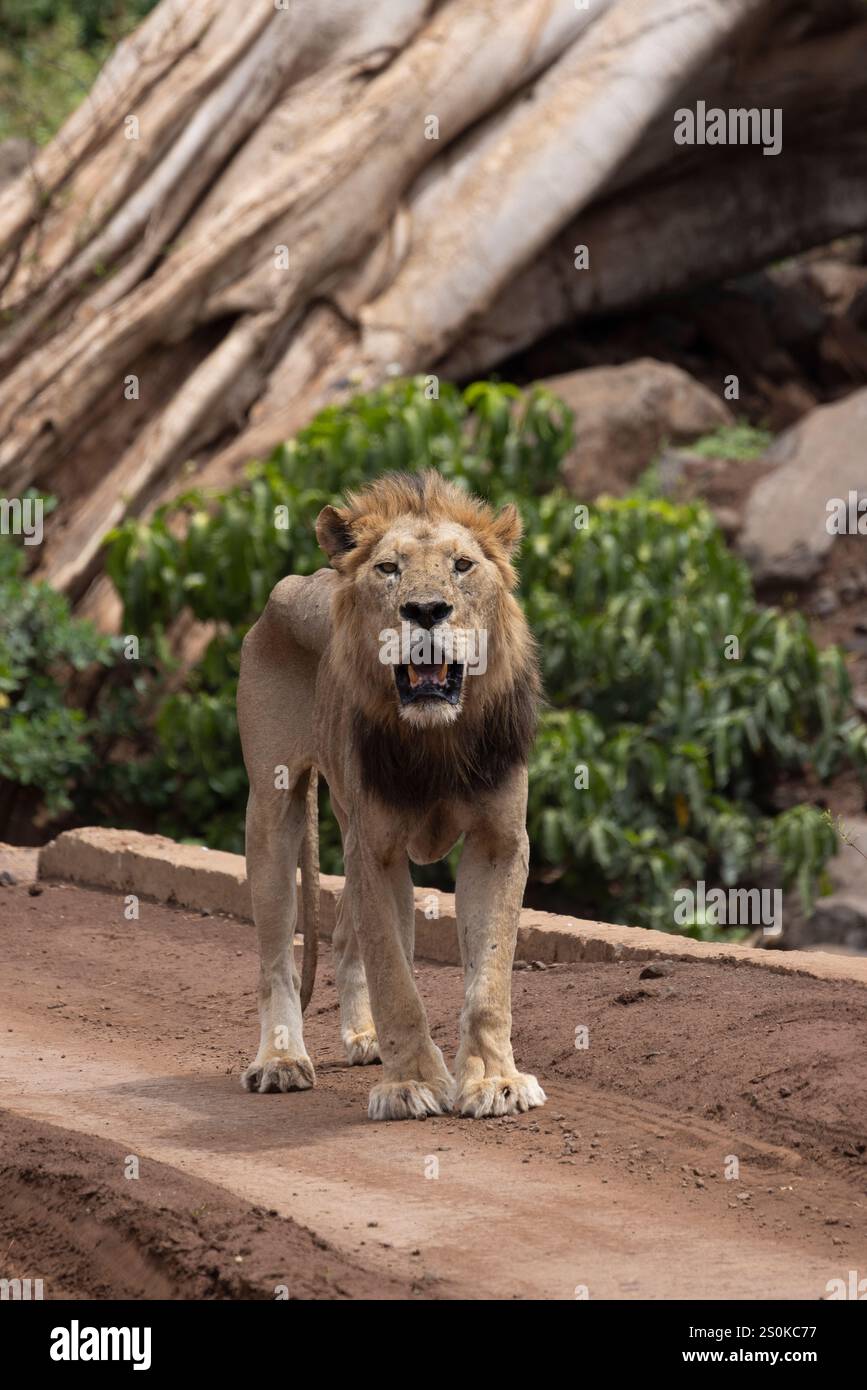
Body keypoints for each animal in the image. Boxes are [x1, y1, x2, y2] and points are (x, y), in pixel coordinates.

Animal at [237, 470, 546, 1120]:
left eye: (462, 565)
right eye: (387, 569)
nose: (426, 611)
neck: (436, 738)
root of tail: (301, 580)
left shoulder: (498, 842)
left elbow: (489, 980)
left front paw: (494, 1082)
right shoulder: (375, 848)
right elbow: (396, 980)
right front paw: (411, 1085)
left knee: (344, 935)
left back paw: (365, 1037)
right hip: (274, 809)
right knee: (277, 957)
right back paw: (280, 1060)